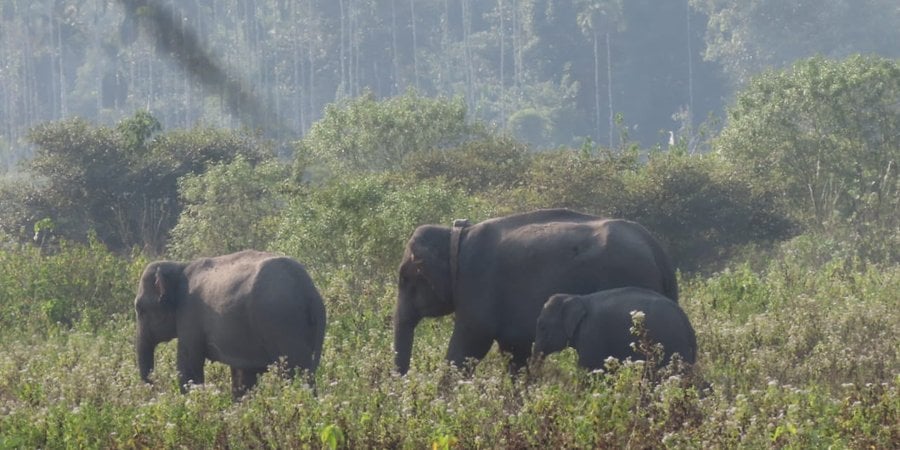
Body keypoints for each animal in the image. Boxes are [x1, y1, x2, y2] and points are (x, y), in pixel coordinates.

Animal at [134, 250, 327, 398]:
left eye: (140, 309)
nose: (155, 389)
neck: (179, 266)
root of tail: (310, 292)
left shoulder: (189, 315)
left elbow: (189, 364)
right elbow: (243, 375)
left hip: (283, 324)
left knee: (295, 372)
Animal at [393, 208, 677, 375]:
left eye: (404, 279)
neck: (457, 234)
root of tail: (657, 250)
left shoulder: (477, 284)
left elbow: (471, 343)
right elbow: (513, 350)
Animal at [533, 287, 697, 370]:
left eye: (541, 326)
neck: (577, 297)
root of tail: (685, 319)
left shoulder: (591, 332)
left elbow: (588, 366)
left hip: (674, 343)